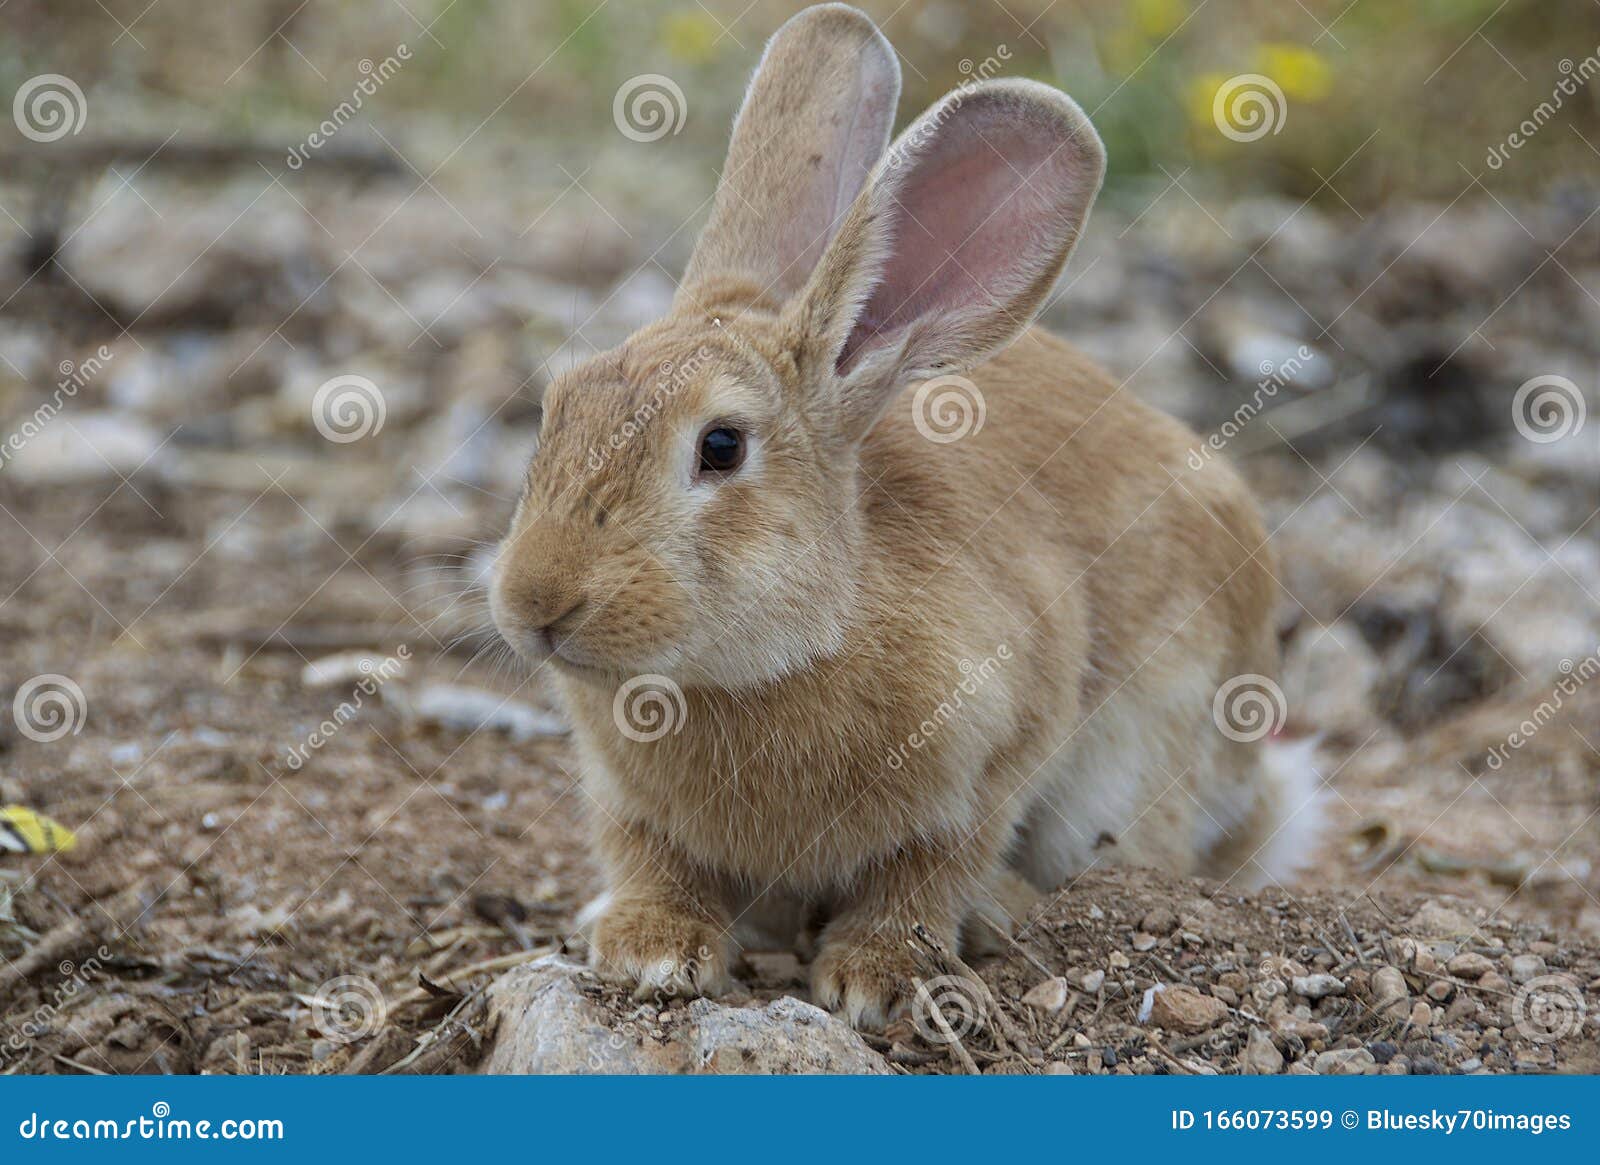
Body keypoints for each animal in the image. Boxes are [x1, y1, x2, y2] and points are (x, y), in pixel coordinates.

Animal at [489, 2, 1321, 1028]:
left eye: (720, 446)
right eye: (556, 408)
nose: (536, 603)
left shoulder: (996, 754)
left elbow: (930, 869)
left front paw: (873, 978)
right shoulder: (625, 800)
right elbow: (649, 854)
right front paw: (649, 948)